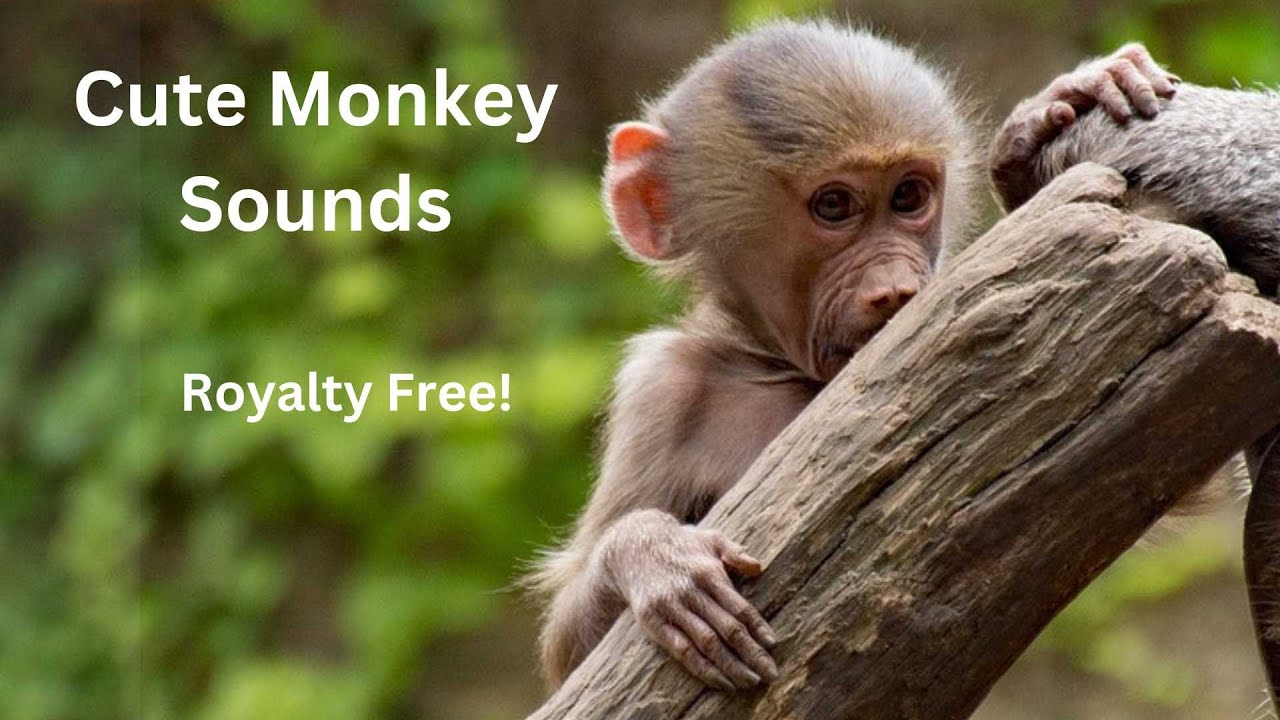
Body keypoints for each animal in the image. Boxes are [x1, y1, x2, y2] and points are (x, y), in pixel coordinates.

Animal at [527, 20, 1177, 692]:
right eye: (834, 205)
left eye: (909, 195)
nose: (894, 288)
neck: (786, 368)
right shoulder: (661, 388)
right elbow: (572, 658)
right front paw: (652, 554)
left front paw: (1046, 123)